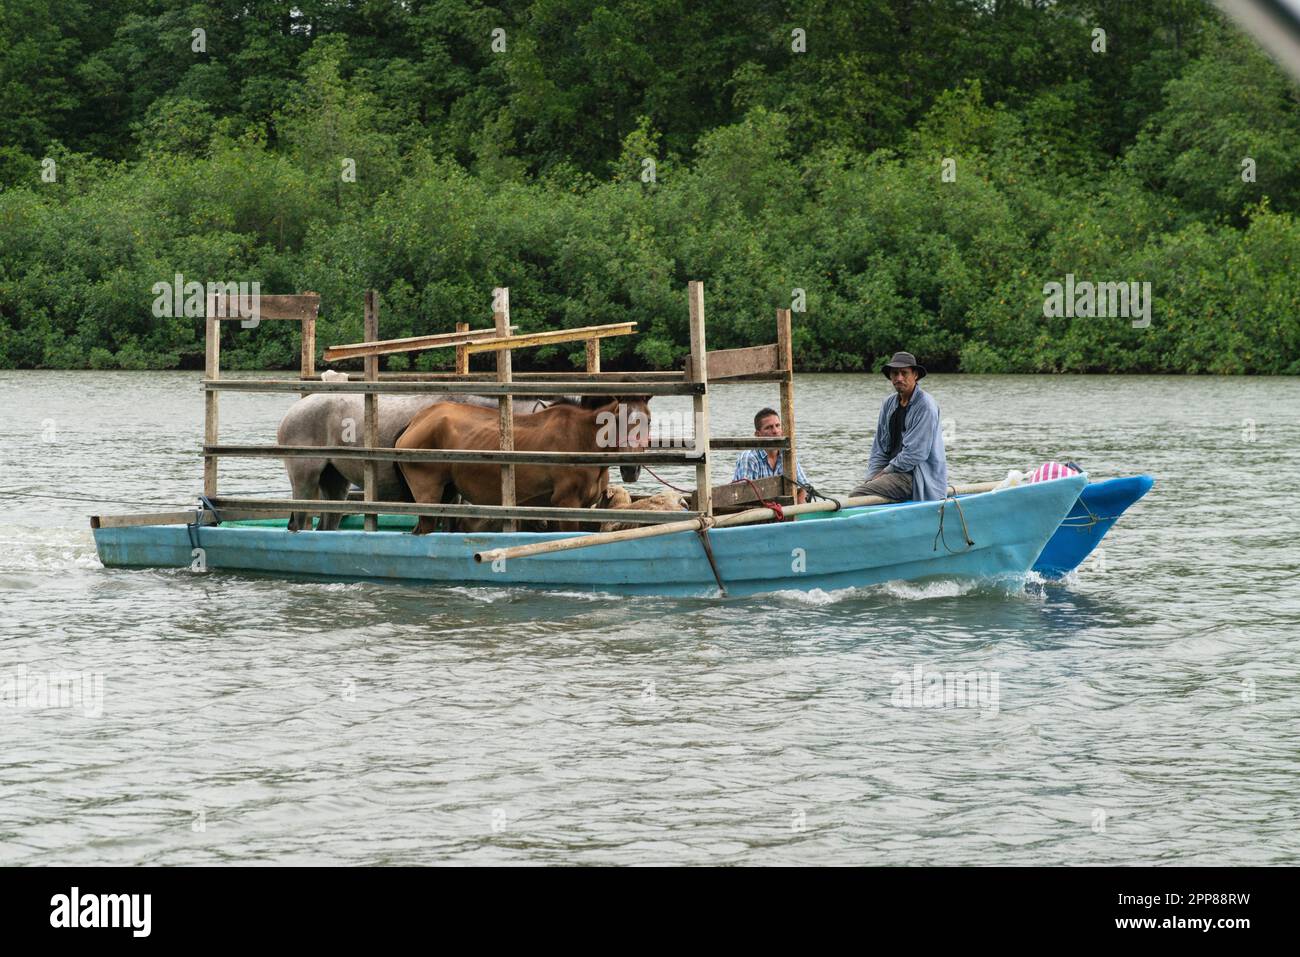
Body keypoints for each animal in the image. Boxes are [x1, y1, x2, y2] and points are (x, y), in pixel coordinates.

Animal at [396, 395, 651, 534]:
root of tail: (414, 422)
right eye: (618, 421)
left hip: (447, 494)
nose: (632, 469)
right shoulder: (566, 503)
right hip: (428, 494)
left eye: (648, 420)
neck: (583, 440)